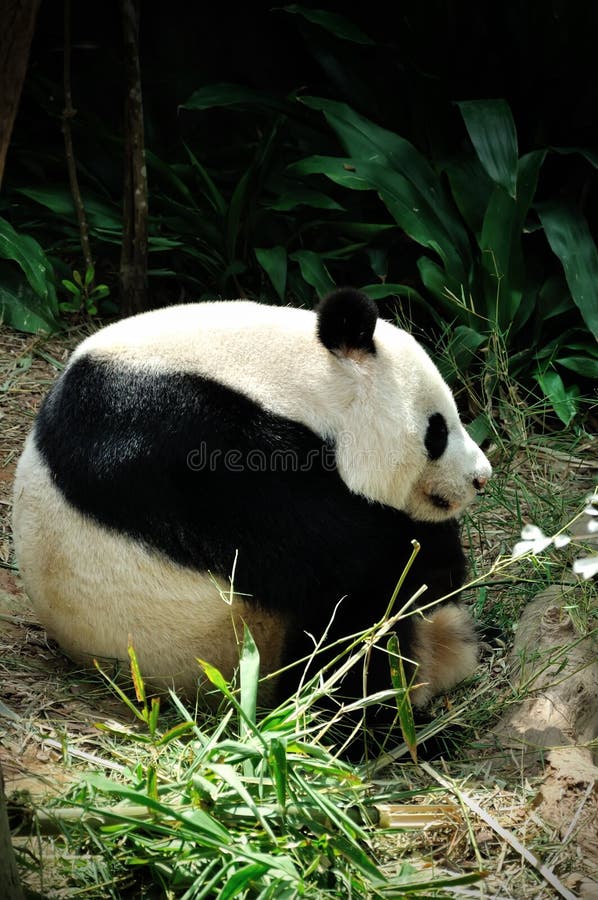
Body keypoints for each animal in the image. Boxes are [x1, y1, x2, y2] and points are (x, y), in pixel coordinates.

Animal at [12, 288, 491, 733]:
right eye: (437, 431)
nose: (480, 478)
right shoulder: (180, 440)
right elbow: (332, 549)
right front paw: (438, 555)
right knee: (353, 629)